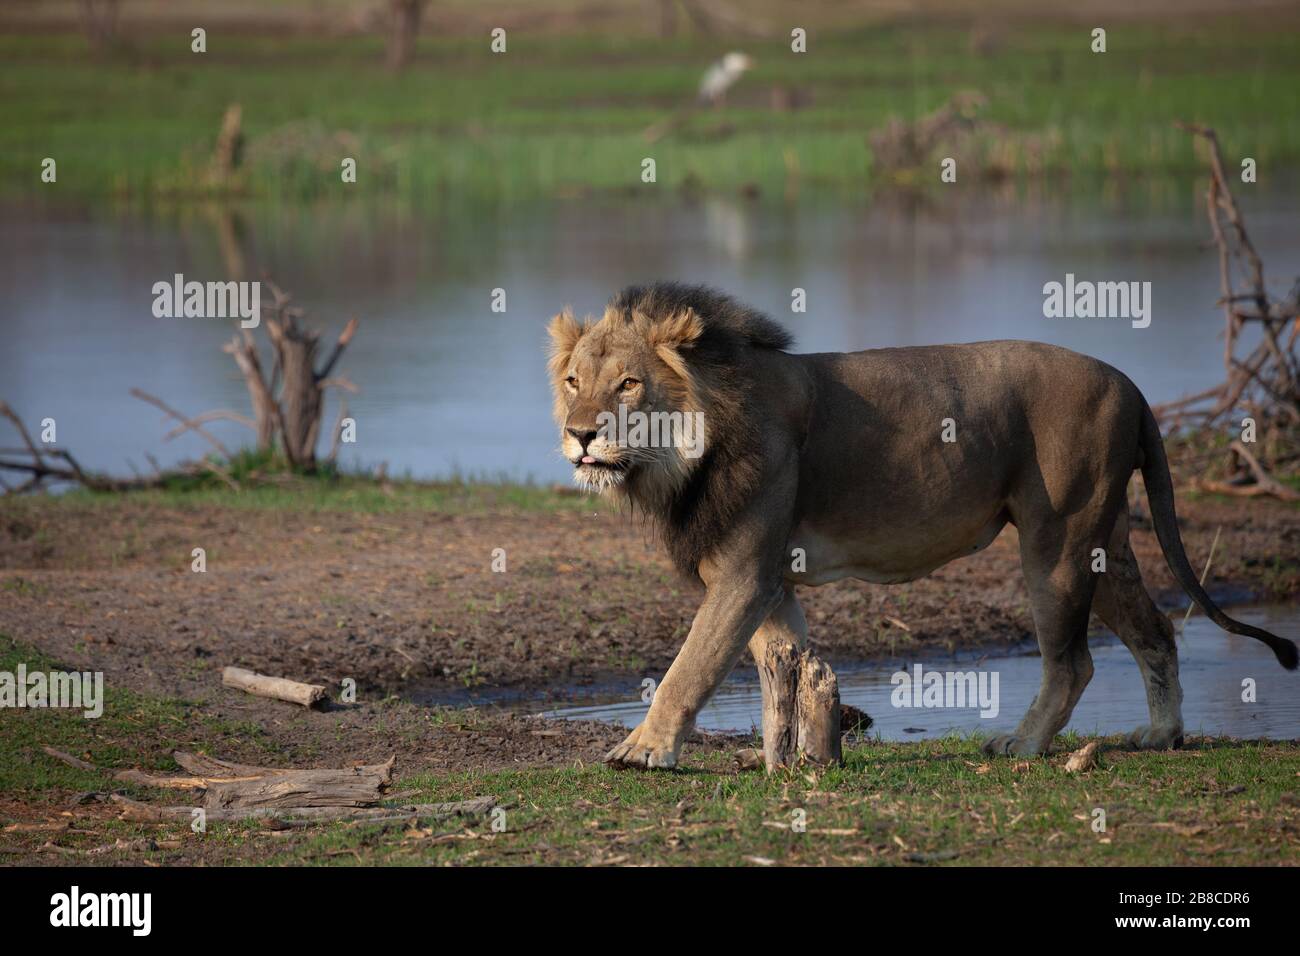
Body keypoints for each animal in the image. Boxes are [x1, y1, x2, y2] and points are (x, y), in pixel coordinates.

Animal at [546, 282, 1298, 769]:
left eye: (628, 384)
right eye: (575, 381)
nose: (579, 435)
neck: (678, 458)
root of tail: (1133, 386)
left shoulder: (743, 573)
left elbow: (691, 666)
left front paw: (643, 749)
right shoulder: (766, 581)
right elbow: (782, 660)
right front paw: (793, 758)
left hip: (1056, 538)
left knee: (1073, 661)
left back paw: (1022, 745)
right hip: (1103, 541)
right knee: (1156, 630)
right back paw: (1162, 734)